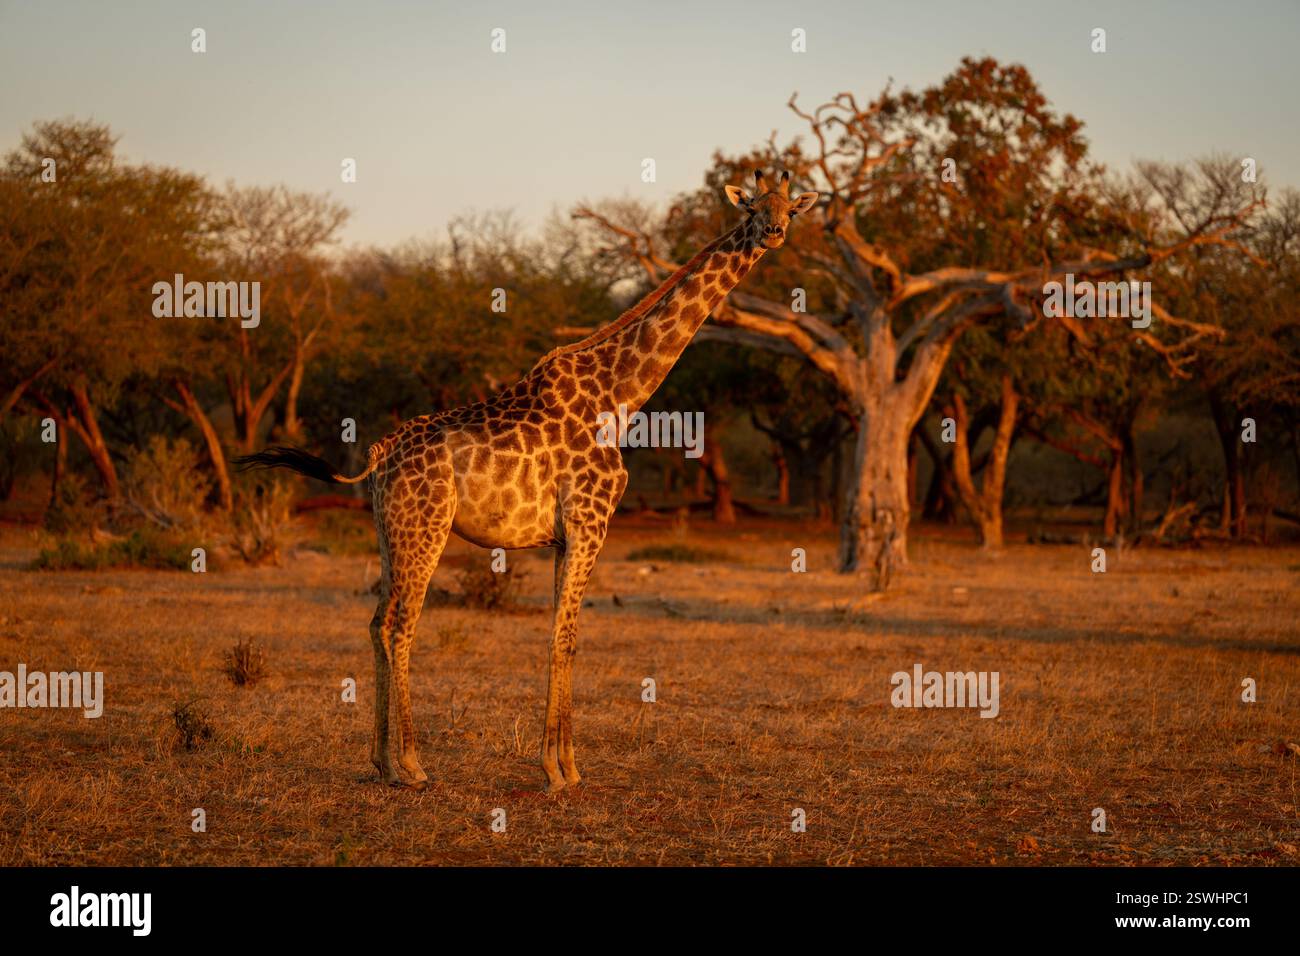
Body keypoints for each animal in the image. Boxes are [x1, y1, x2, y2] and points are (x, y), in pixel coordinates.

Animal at [236, 170, 818, 791]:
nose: (774, 233)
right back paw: (412, 765)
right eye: (754, 207)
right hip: (425, 531)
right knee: (399, 627)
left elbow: (563, 638)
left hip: (388, 533)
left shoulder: (565, 536)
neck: (622, 395)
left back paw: (379, 761)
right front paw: (558, 770)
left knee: (374, 623)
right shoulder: (590, 523)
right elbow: (565, 636)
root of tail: (379, 454)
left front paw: (566, 765)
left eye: (791, 209)